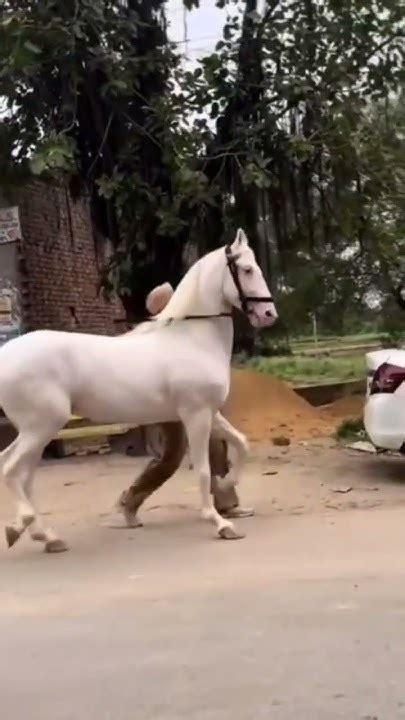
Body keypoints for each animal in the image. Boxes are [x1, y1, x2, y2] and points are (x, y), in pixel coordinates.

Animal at [0, 228, 277, 553]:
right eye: (246, 269)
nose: (268, 313)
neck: (192, 339)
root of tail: (5, 353)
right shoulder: (195, 414)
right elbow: (203, 469)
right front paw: (221, 524)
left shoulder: (208, 413)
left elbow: (241, 443)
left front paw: (225, 486)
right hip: (42, 426)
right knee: (11, 470)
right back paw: (23, 526)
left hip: (36, 430)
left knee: (22, 475)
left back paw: (46, 536)